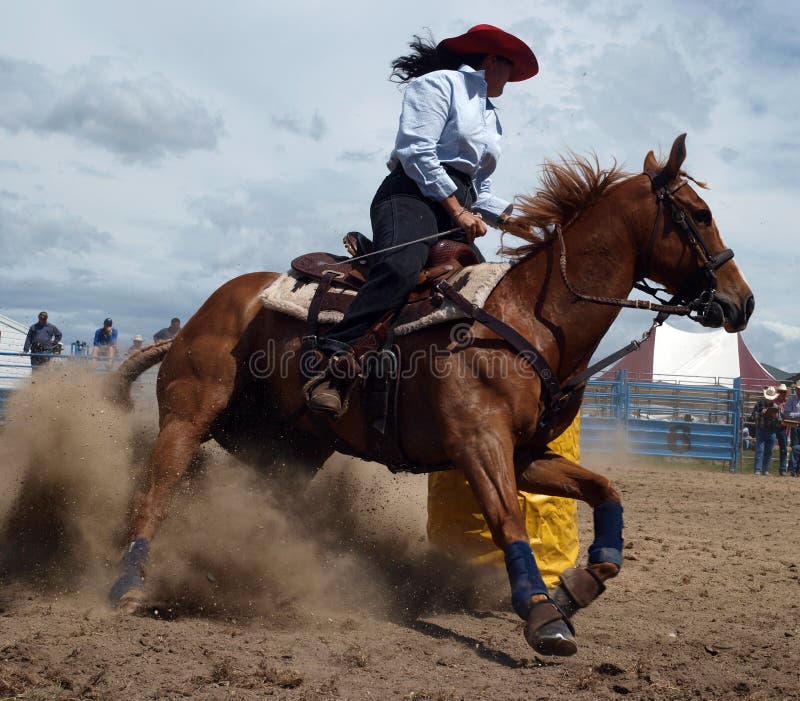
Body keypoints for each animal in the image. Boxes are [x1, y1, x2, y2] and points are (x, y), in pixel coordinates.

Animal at [109, 134, 753, 656]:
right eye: (700, 214)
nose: (741, 302)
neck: (528, 318)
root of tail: (207, 311)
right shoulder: (479, 446)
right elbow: (507, 520)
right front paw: (542, 615)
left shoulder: (525, 454)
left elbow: (605, 493)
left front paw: (578, 585)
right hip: (189, 415)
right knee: (155, 491)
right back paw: (128, 583)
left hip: (289, 449)